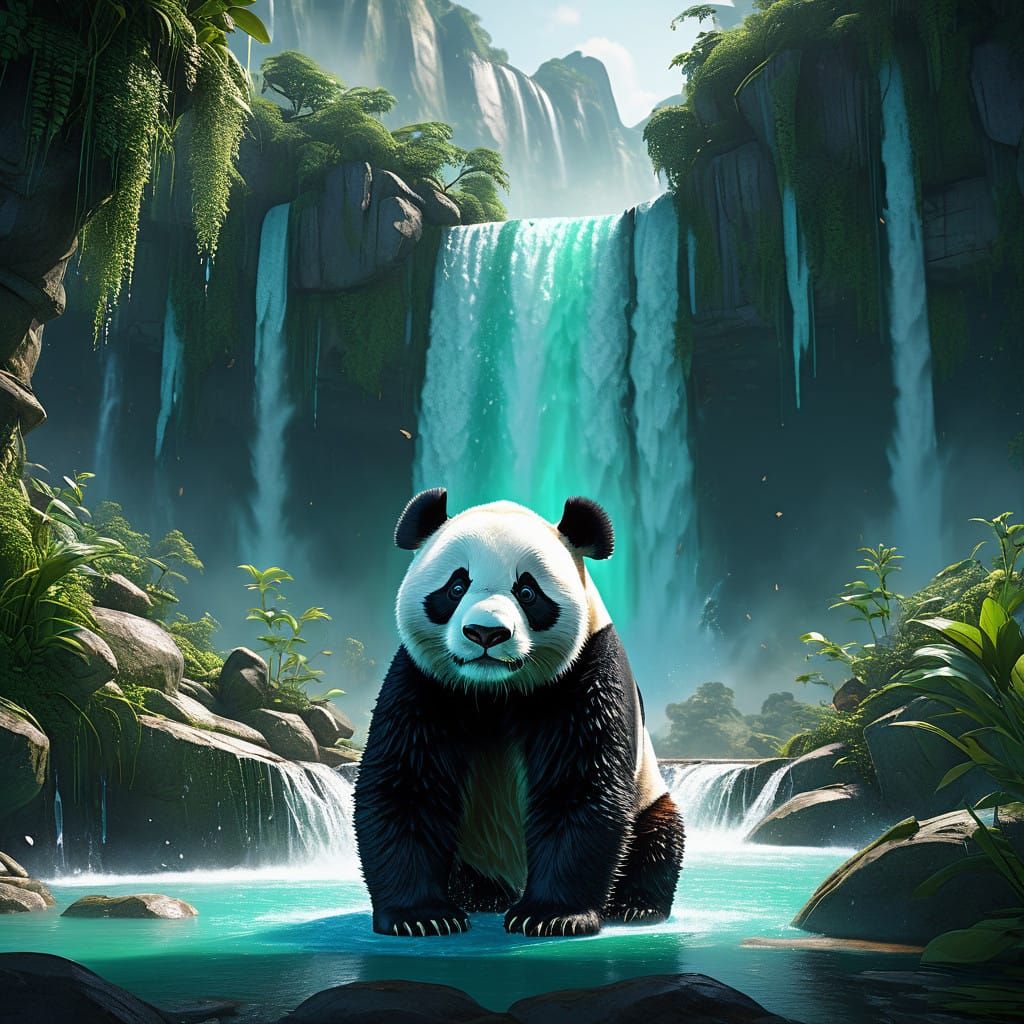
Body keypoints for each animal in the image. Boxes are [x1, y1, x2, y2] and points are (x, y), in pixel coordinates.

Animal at [353, 488, 684, 938]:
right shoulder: (423, 681)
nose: (485, 633)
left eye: (527, 593)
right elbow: (405, 782)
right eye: (456, 586)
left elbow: (580, 784)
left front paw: (552, 915)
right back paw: (479, 899)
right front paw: (422, 916)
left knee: (659, 835)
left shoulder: (585, 670)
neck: (496, 691)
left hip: (648, 793)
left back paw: (637, 907)